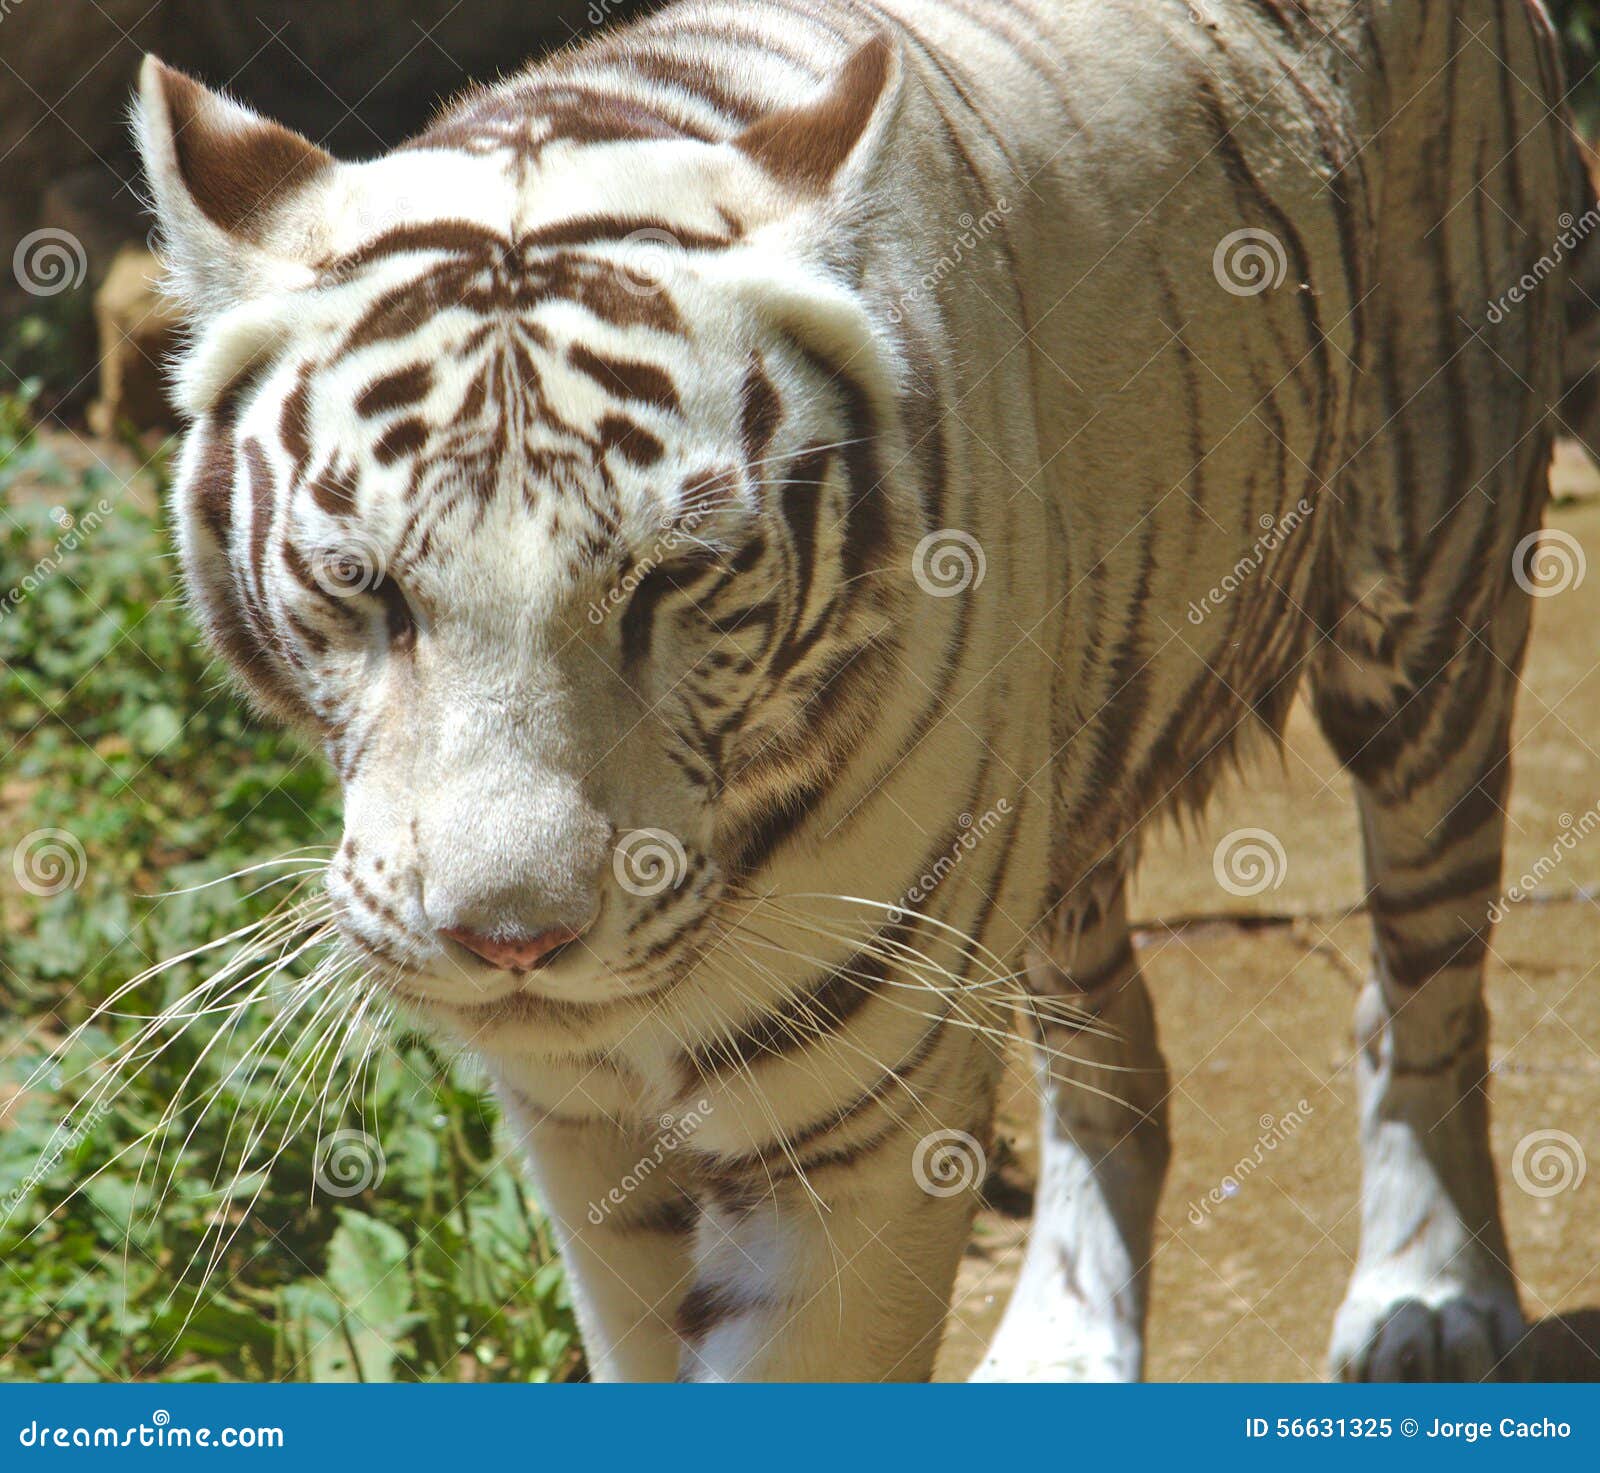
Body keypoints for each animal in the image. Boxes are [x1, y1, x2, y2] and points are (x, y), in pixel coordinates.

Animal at [132, 0, 1595, 1381]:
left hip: (1431, 599)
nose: (512, 943)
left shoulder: (855, 1127)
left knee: (1422, 983)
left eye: (675, 576)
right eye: (360, 582)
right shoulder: (579, 1126)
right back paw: (1066, 1342)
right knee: (1114, 1049)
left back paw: (1428, 1299)